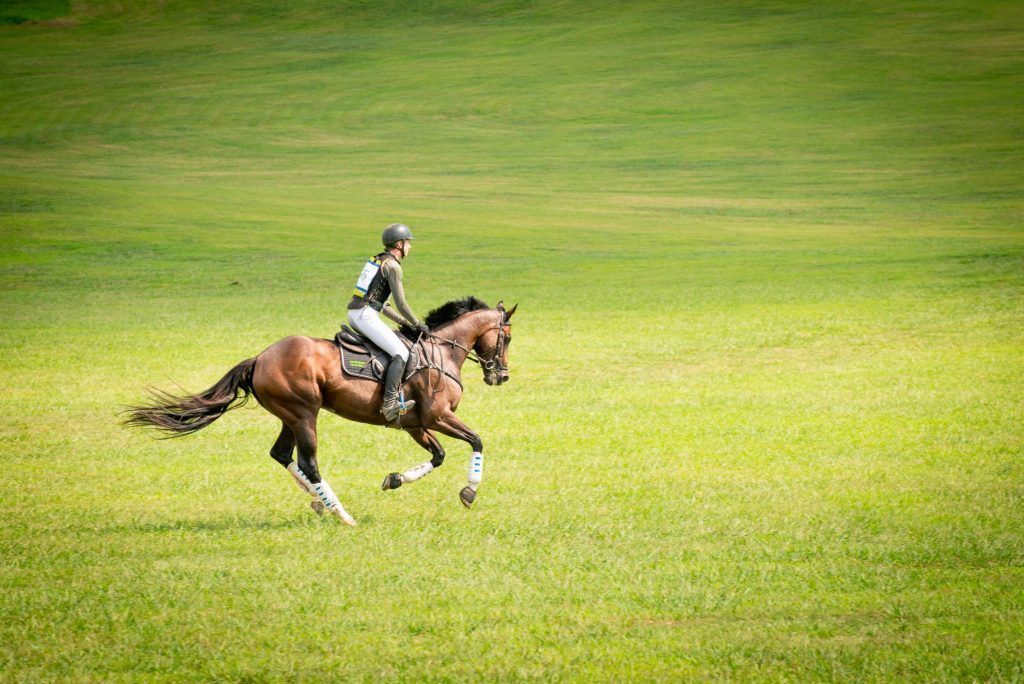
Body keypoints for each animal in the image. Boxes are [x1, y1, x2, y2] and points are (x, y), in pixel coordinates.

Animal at [123, 297, 516, 526]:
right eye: (507, 338)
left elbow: (438, 456)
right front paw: (469, 492)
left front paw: (395, 479)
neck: (441, 352)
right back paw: (342, 514)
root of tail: (260, 358)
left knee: (281, 454)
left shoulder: (416, 425)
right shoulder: (437, 416)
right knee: (309, 462)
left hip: (289, 416)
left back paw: (320, 502)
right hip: (304, 414)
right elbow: (477, 441)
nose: (502, 376)